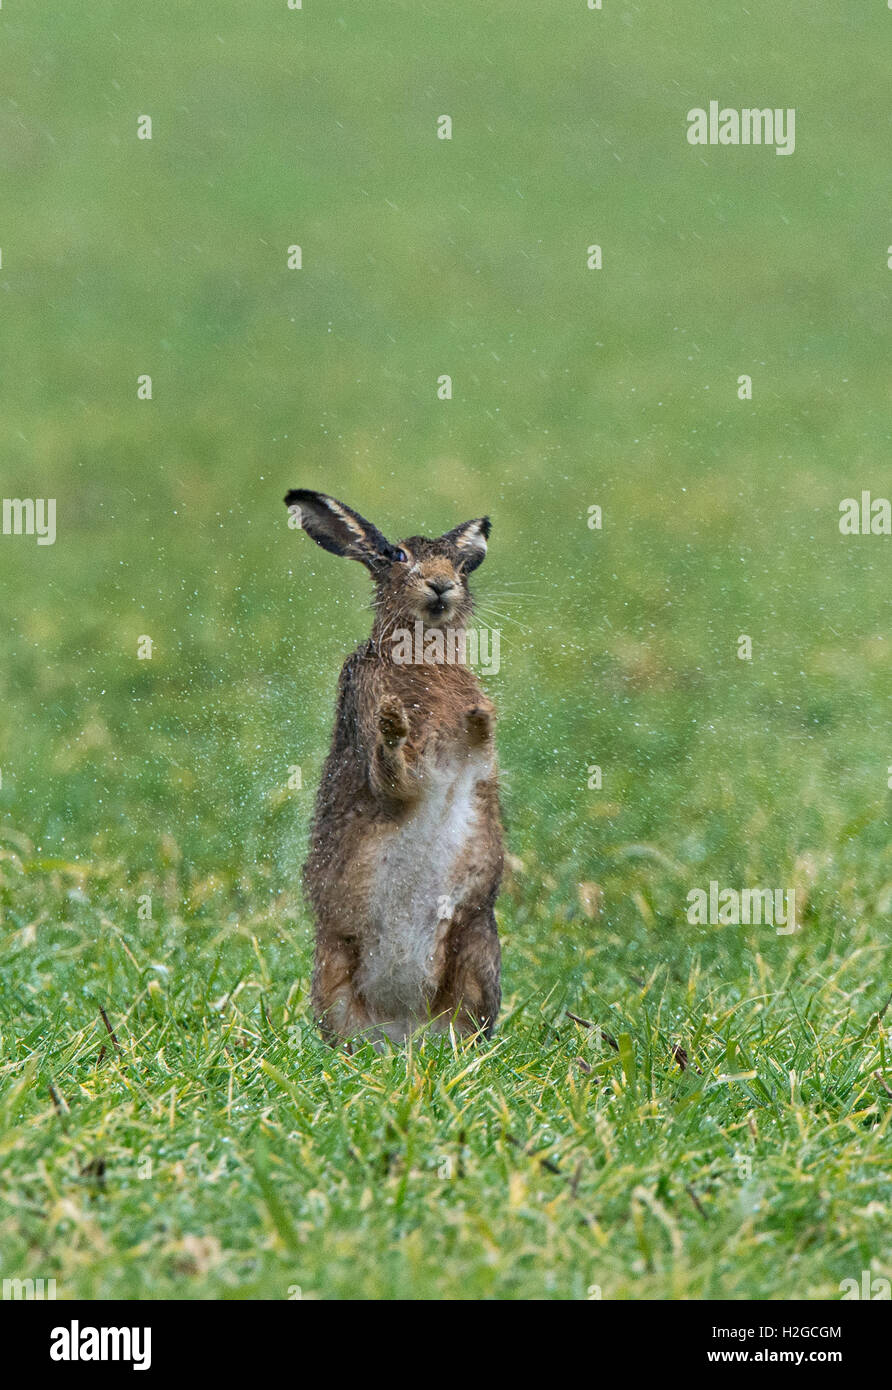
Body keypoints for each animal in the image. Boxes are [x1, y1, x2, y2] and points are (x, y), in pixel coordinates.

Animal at [283, 488, 504, 1047]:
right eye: (397, 556)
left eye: (460, 566)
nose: (442, 584)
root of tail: (404, 1024)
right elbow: (393, 779)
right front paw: (392, 726)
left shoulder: (474, 769)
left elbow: (477, 751)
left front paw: (479, 715)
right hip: (333, 965)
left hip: (476, 949)